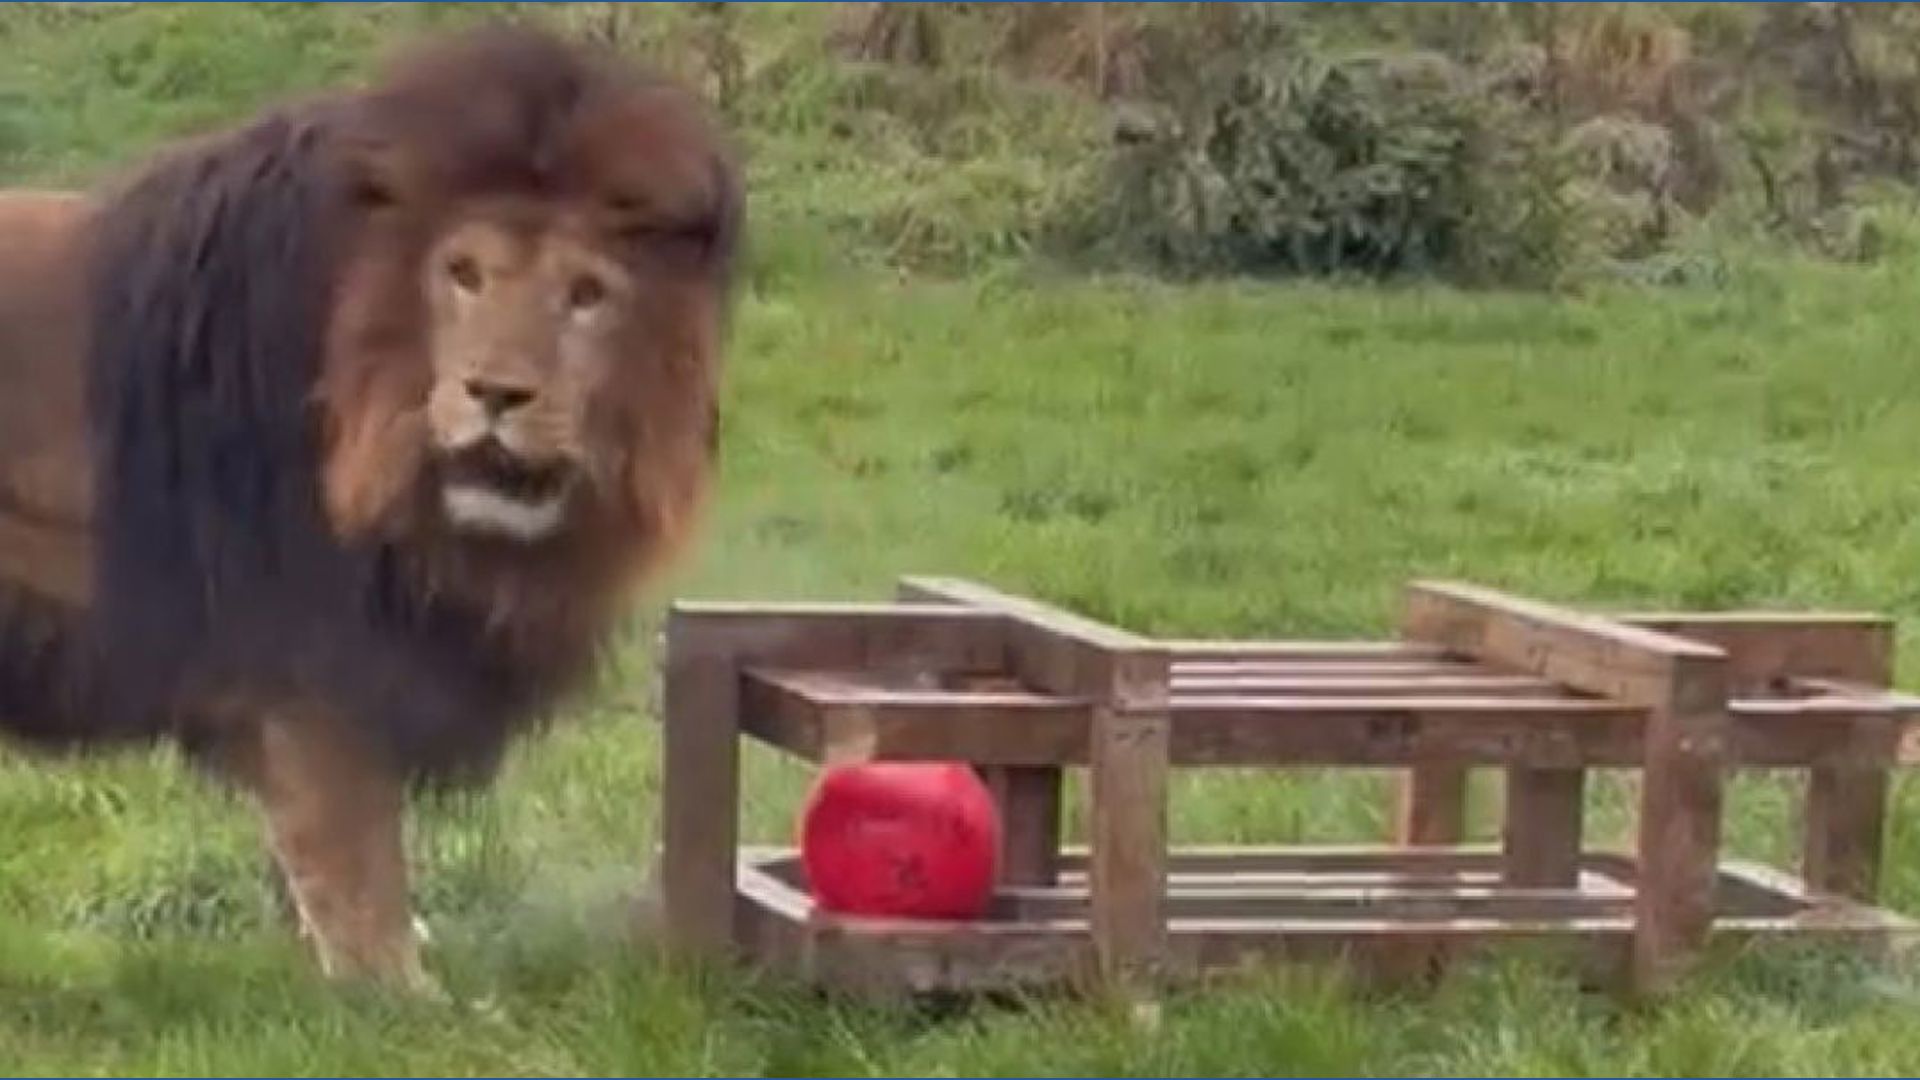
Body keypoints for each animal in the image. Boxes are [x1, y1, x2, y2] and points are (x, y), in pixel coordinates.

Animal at [0, 25, 741, 991]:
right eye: (463, 274)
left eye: (586, 294)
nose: (495, 393)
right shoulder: (319, 662)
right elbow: (355, 849)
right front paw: (400, 991)